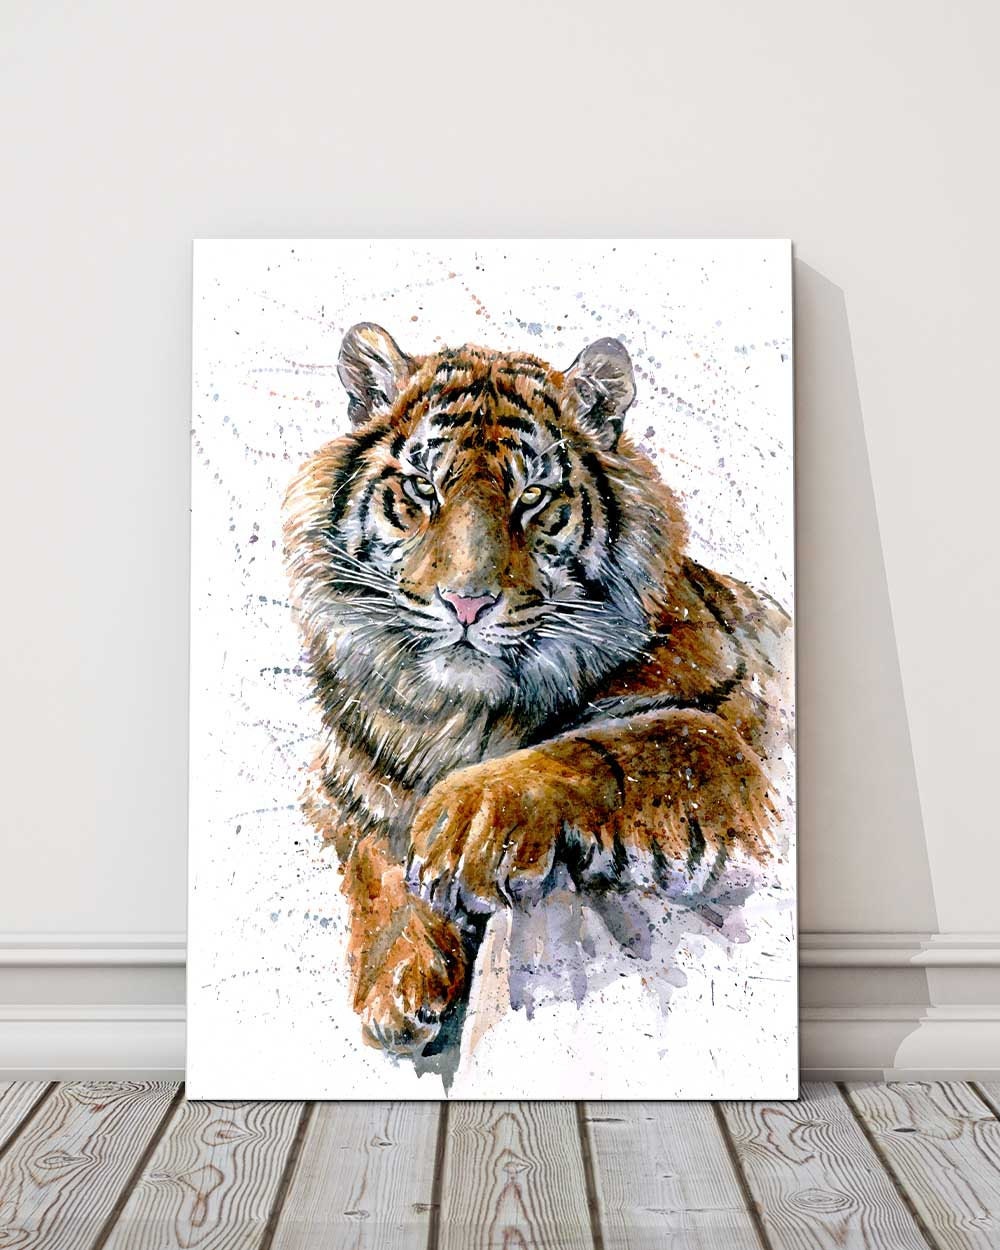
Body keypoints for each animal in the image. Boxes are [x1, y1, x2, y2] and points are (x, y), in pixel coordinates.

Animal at [283, 322, 791, 1056]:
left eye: (532, 497)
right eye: (423, 487)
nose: (466, 603)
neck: (456, 715)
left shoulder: (731, 732)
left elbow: (610, 746)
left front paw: (463, 823)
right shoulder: (344, 787)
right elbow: (373, 860)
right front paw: (395, 985)